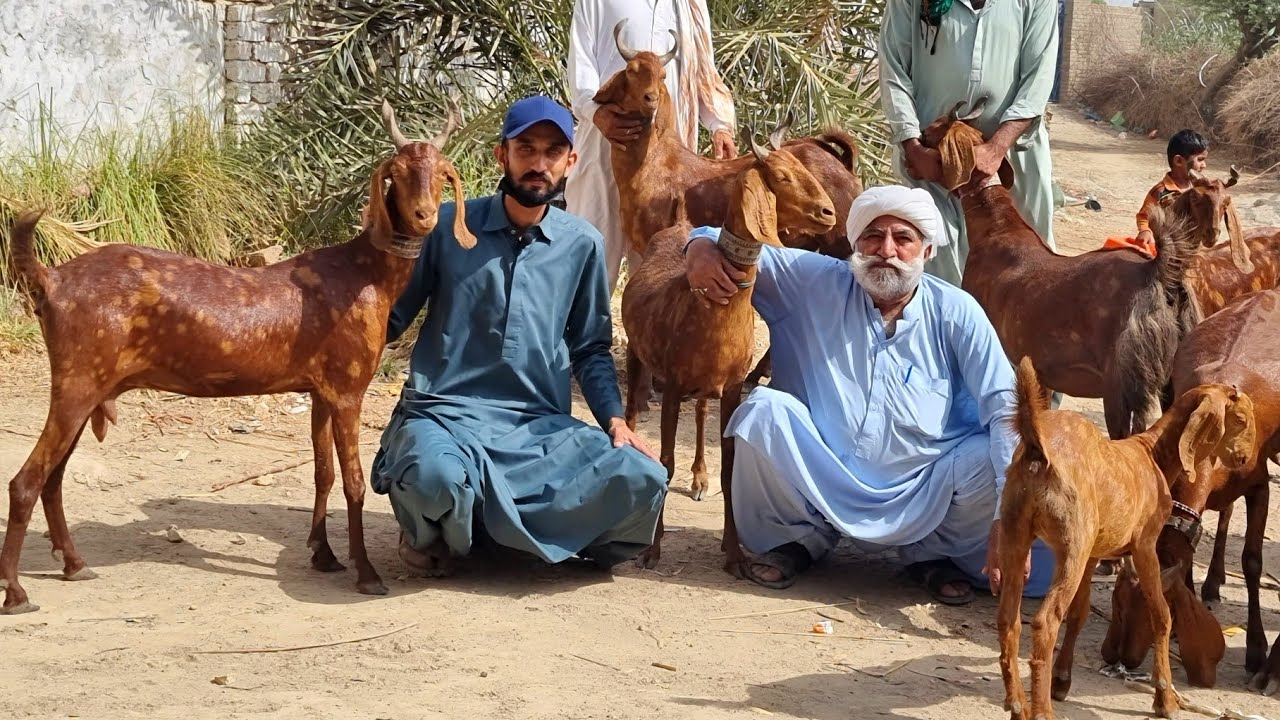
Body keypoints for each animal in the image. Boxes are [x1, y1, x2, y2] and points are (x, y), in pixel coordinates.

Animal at [0, 101, 475, 614]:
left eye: (443, 174)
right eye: (398, 173)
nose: (425, 216)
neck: (365, 275)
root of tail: (51, 279)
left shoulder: (319, 390)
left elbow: (322, 473)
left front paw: (324, 555)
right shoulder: (348, 388)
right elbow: (352, 481)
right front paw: (366, 573)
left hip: (89, 384)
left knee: (52, 479)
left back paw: (73, 564)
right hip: (77, 380)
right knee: (26, 481)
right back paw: (17, 591)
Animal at [620, 128, 836, 571]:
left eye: (804, 166)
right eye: (782, 176)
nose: (828, 212)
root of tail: (680, 222)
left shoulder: (732, 388)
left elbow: (730, 466)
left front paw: (734, 553)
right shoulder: (672, 385)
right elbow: (665, 463)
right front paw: (652, 548)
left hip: (705, 390)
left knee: (702, 413)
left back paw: (699, 477)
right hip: (637, 354)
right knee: (631, 413)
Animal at [918, 97, 1202, 440]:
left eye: (927, 134)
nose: (909, 154)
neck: (997, 227)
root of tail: (1156, 272)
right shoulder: (1039, 372)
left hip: (1120, 385)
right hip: (1171, 380)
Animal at [996, 357, 1256, 720]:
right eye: (1241, 419)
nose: (1245, 459)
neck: (1151, 454)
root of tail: (1038, 449)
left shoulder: (1094, 552)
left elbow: (1079, 613)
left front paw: (1062, 680)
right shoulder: (1145, 546)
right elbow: (1161, 613)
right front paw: (1165, 698)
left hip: (1016, 533)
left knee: (1009, 618)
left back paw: (1019, 703)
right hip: (1070, 547)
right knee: (1045, 622)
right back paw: (1042, 710)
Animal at [1103, 287, 1280, 693]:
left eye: (1156, 607)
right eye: (1118, 602)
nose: (1118, 656)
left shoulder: (1260, 485)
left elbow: (1251, 561)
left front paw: (1256, 652)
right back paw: (1212, 581)